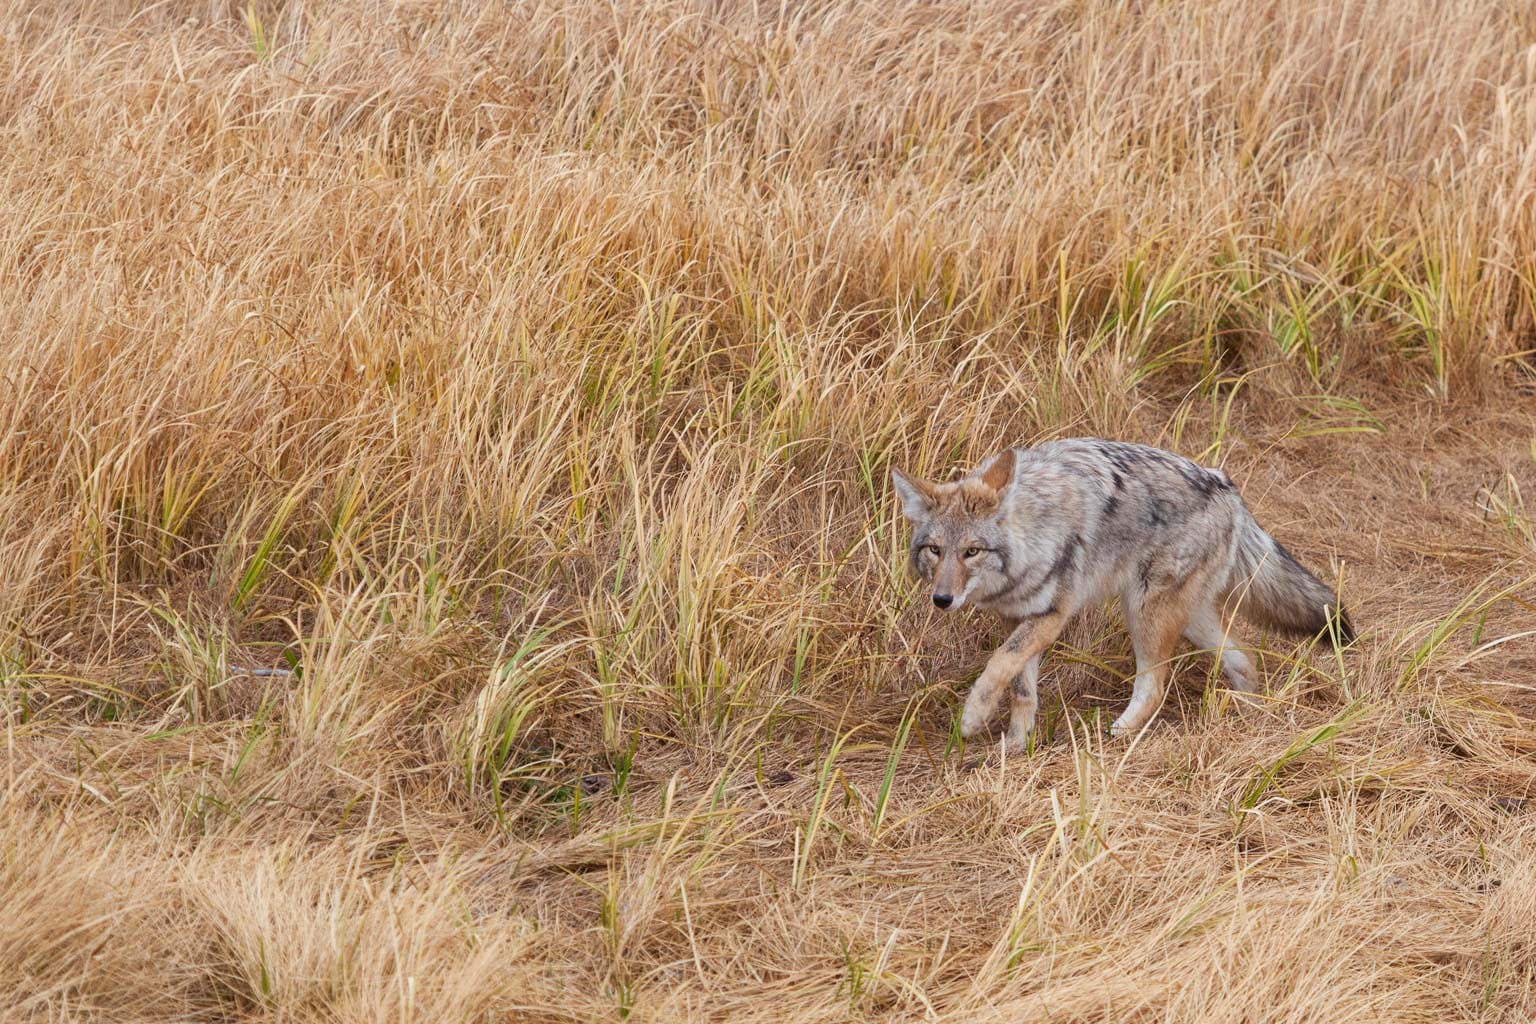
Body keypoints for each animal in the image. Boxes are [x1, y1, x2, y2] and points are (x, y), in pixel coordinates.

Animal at [891, 439, 1352, 747]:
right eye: (935, 550)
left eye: (971, 552)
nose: (942, 600)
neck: (1034, 529)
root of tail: (1226, 486)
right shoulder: (1018, 618)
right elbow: (1021, 687)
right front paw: (1017, 744)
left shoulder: (1053, 616)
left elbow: (998, 665)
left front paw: (973, 718)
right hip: (1185, 618)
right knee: (1244, 659)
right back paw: (1242, 712)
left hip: (1146, 614)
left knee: (1155, 684)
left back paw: (1123, 730)